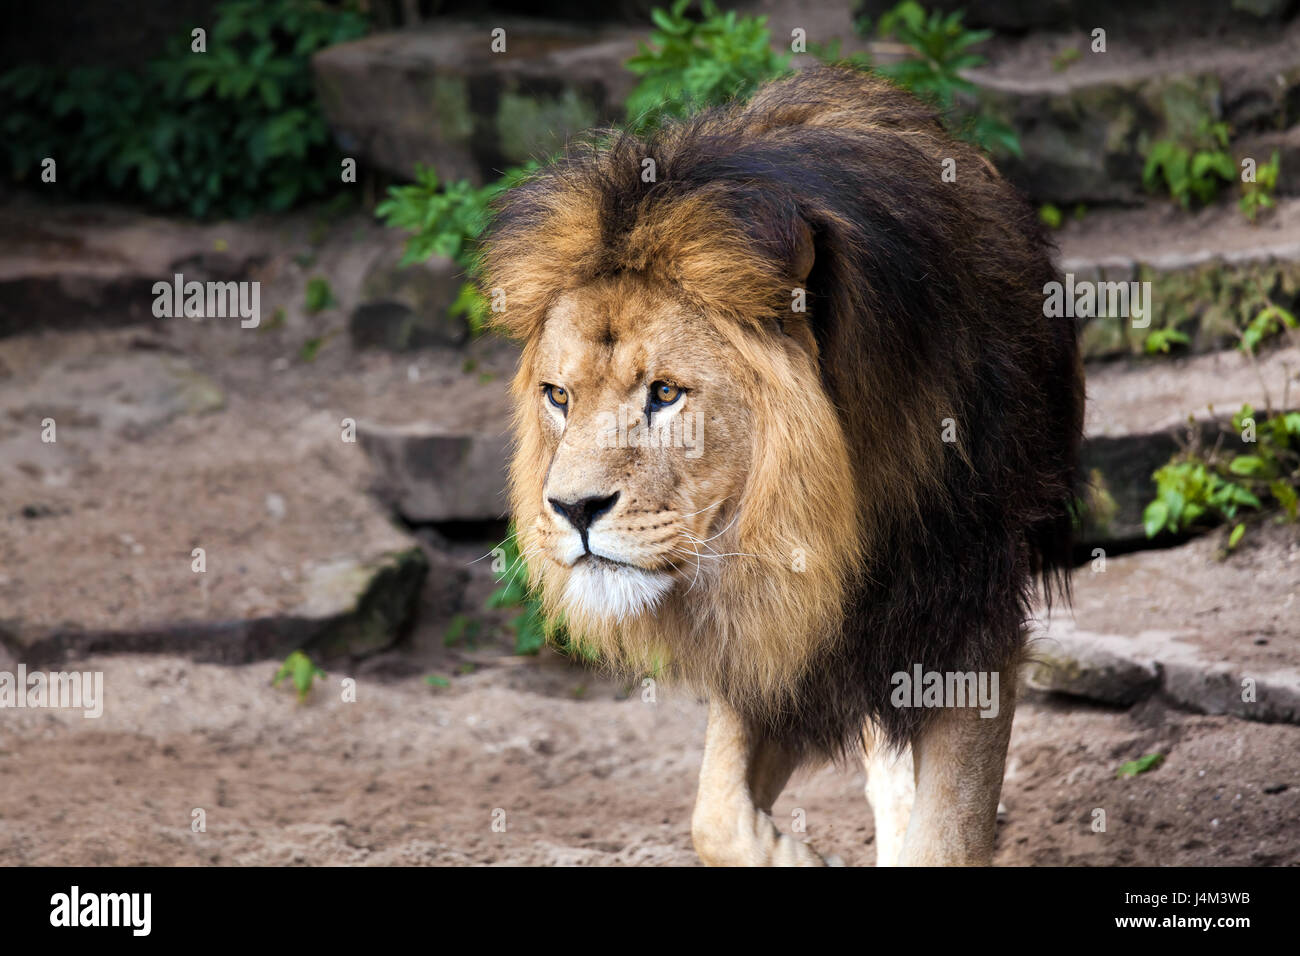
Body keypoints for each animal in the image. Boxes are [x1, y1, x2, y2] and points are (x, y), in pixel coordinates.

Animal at [483, 65, 1083, 866]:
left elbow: (946, 836)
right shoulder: (771, 630)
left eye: (665, 393)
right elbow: (712, 814)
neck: (841, 517)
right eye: (558, 396)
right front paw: (796, 855)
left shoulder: (967, 614)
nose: (574, 510)